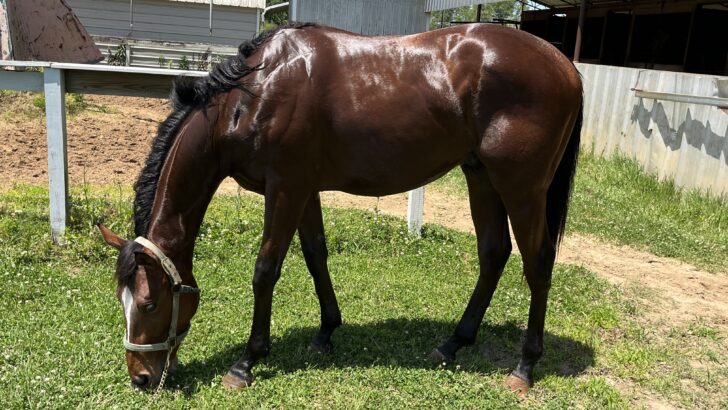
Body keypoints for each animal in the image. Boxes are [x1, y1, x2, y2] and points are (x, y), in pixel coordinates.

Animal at [98, 22, 583, 396]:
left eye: (147, 304)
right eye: (120, 300)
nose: (141, 378)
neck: (254, 93)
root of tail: (564, 65)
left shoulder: (286, 189)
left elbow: (266, 269)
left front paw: (247, 362)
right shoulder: (304, 190)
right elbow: (316, 255)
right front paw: (326, 331)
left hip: (521, 187)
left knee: (538, 263)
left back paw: (524, 367)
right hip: (480, 175)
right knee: (493, 253)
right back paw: (452, 344)